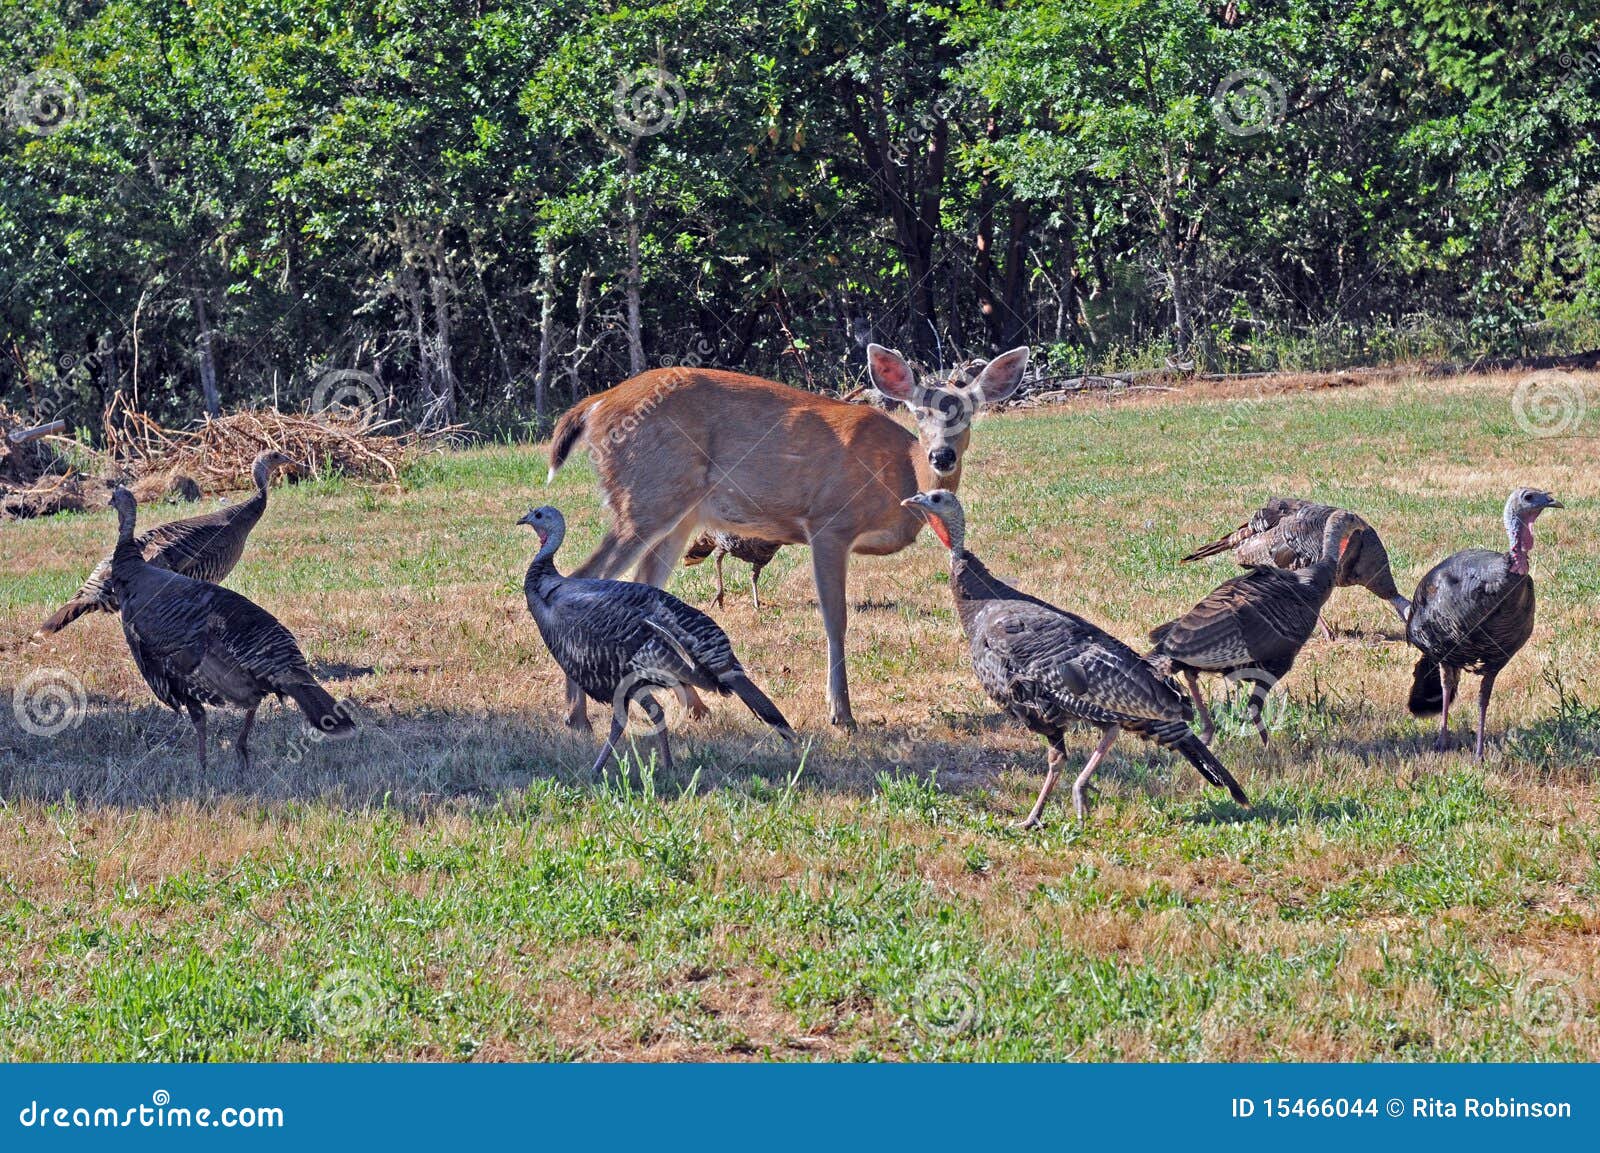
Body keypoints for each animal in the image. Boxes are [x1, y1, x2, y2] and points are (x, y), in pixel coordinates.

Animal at [544, 343, 1030, 730]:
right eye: (918, 410)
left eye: (968, 412)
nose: (942, 455)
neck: (900, 479)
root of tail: (595, 404)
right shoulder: (829, 523)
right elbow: (836, 619)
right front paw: (842, 714)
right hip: (645, 498)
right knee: (582, 576)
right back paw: (576, 713)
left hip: (676, 515)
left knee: (645, 590)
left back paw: (694, 707)